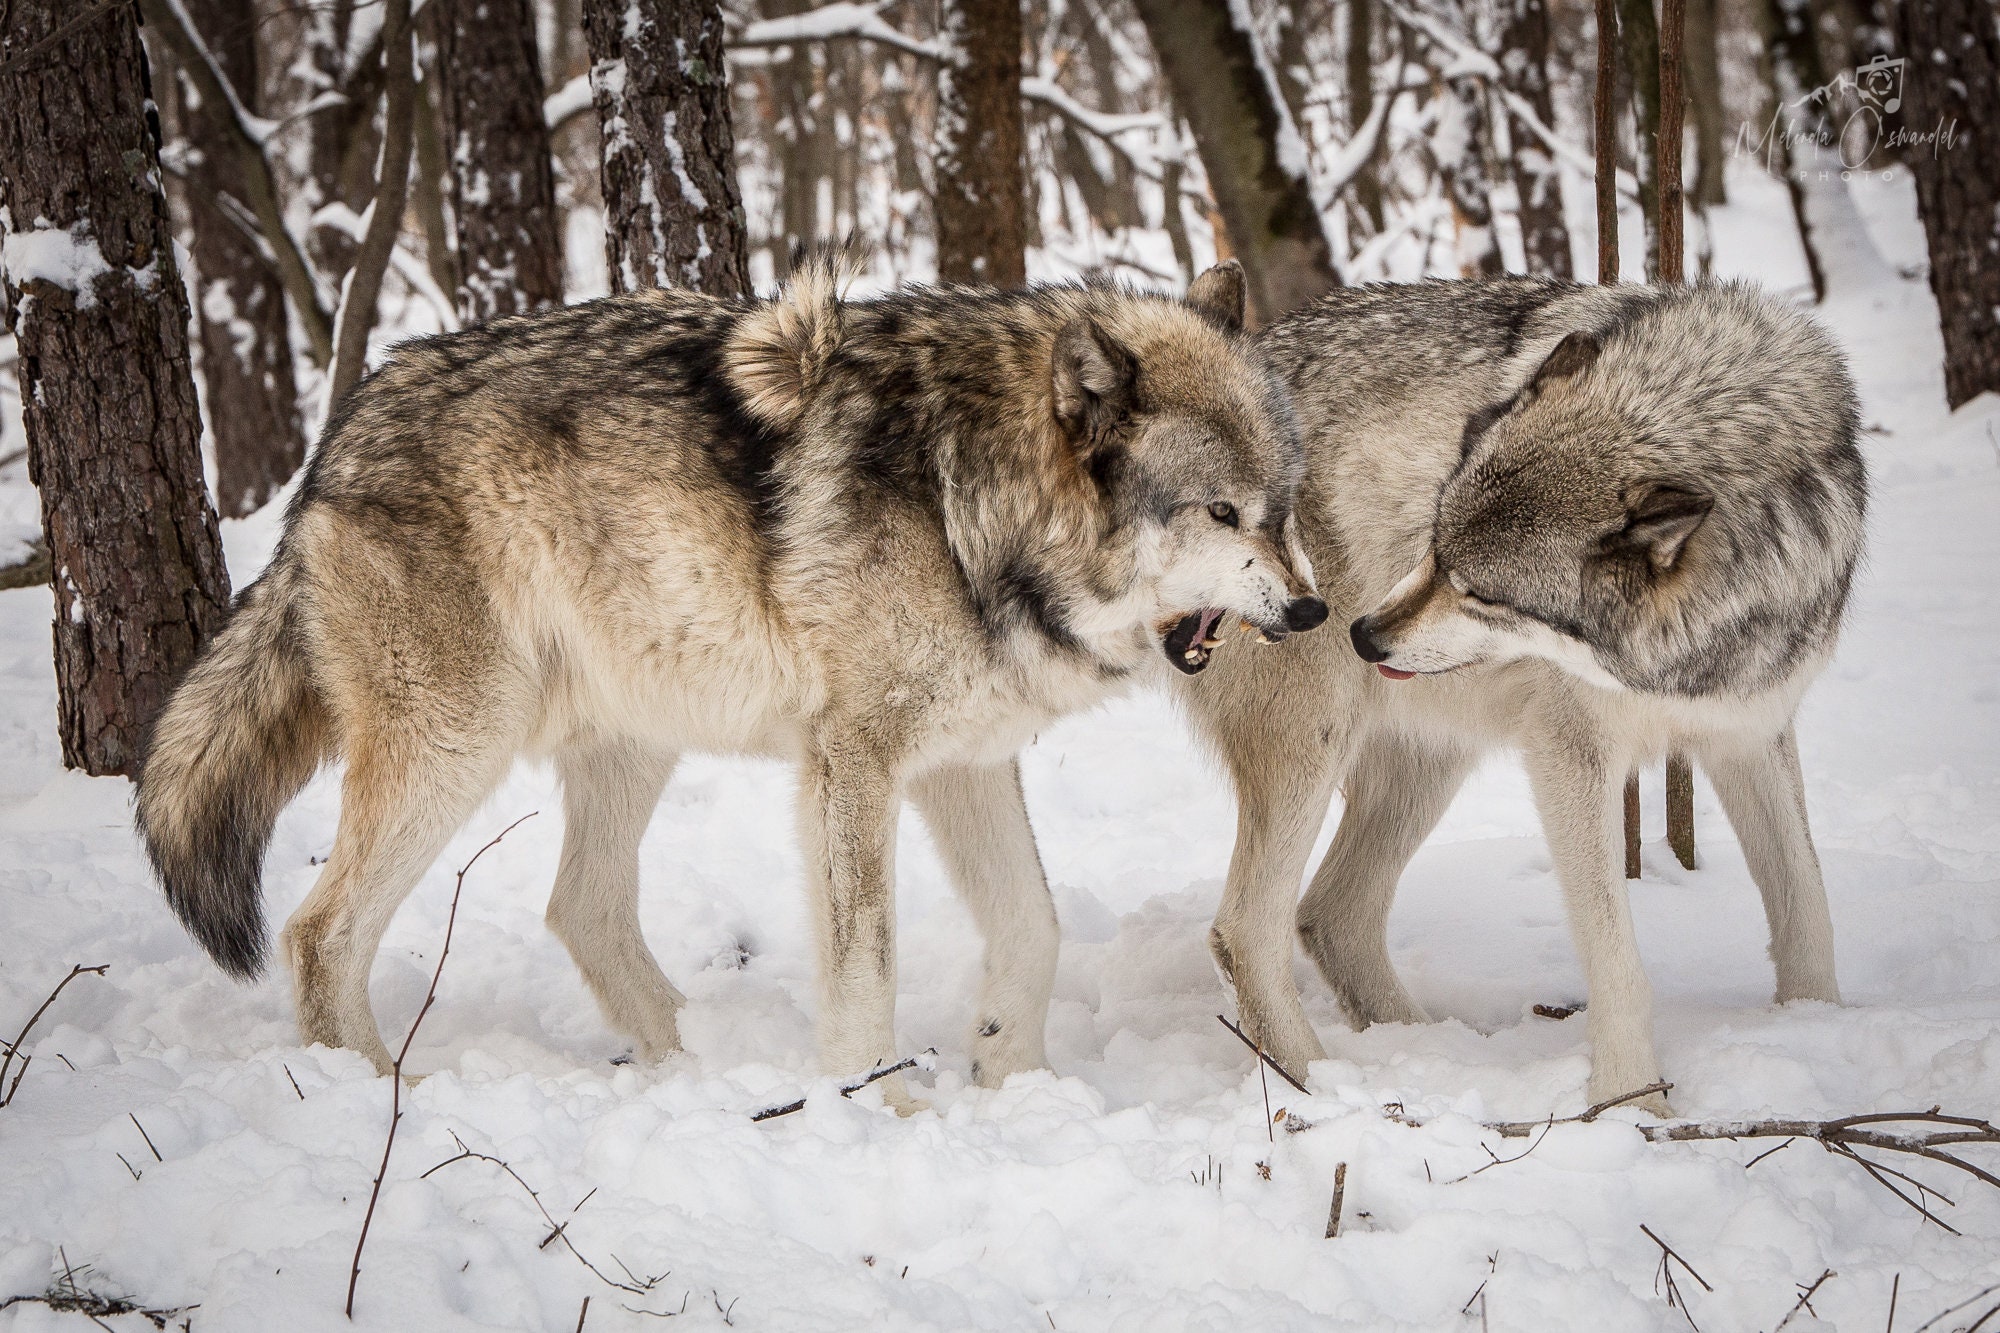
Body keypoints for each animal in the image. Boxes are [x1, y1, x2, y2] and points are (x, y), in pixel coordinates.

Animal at [136, 259, 1330, 1095]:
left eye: (1282, 507)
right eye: (1219, 513)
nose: (1314, 611)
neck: (974, 506)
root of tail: (335, 441)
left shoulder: (965, 761)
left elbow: (1034, 927)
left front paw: (1014, 1080)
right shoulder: (853, 762)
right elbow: (866, 967)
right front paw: (878, 1111)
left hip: (631, 740)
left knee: (580, 908)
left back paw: (695, 1067)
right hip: (458, 743)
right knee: (317, 932)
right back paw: (383, 1095)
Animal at [1177, 279, 1866, 1112]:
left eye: (1478, 590)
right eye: (1433, 544)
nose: (1365, 634)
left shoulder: (1751, 731)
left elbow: (1809, 911)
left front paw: (1817, 1034)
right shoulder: (1571, 755)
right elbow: (1618, 965)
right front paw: (1634, 1106)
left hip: (1428, 758)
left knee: (1330, 915)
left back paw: (1430, 1058)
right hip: (1316, 743)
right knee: (1248, 930)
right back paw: (1329, 1092)